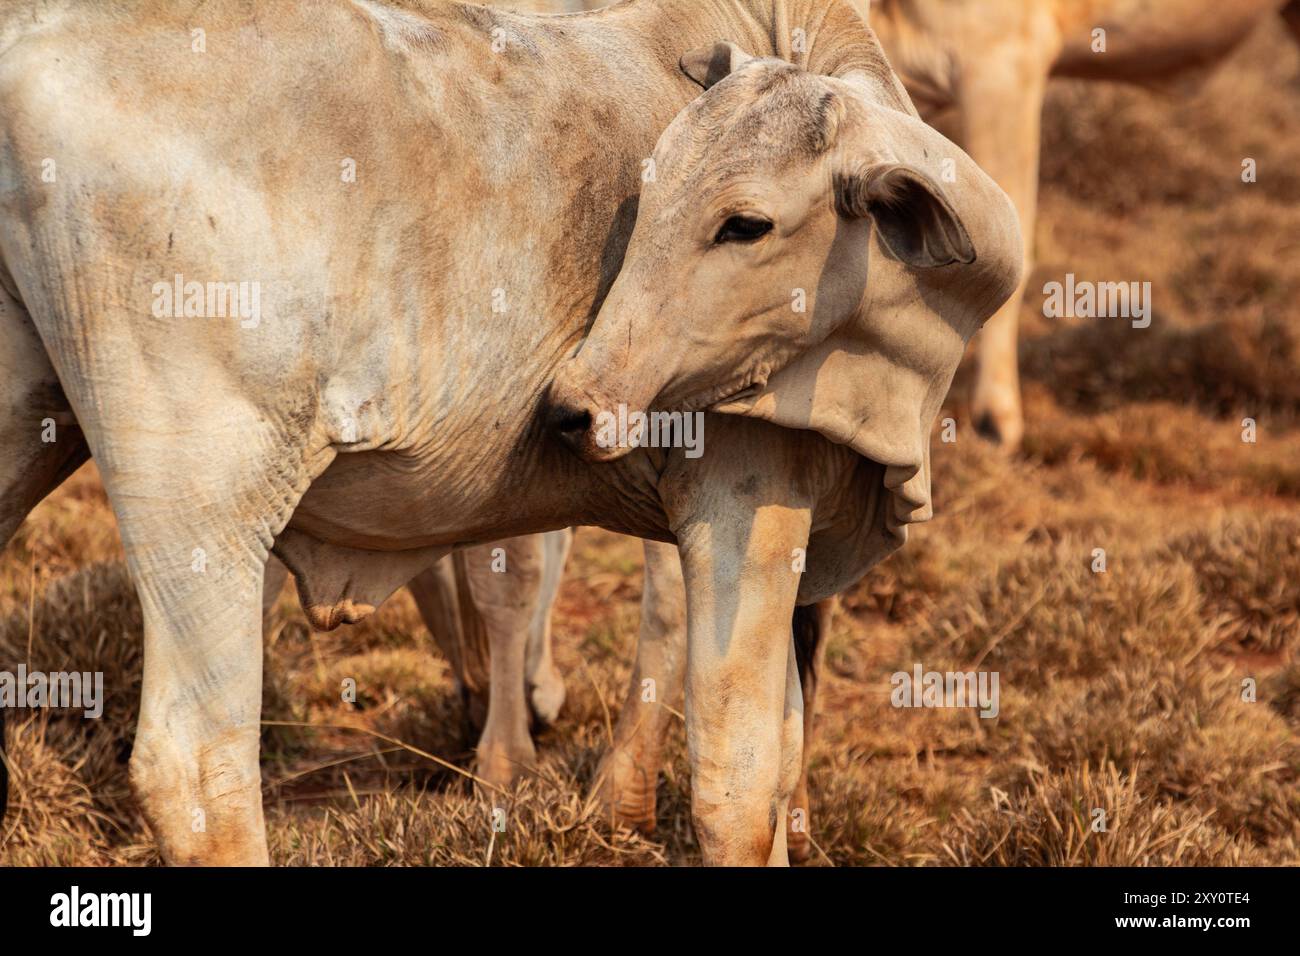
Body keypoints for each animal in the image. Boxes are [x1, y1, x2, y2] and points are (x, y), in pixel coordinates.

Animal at [0, 0, 1020, 865]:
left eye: (746, 224)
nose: (576, 403)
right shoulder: (742, 502)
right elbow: (738, 780)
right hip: (202, 501)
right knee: (196, 768)